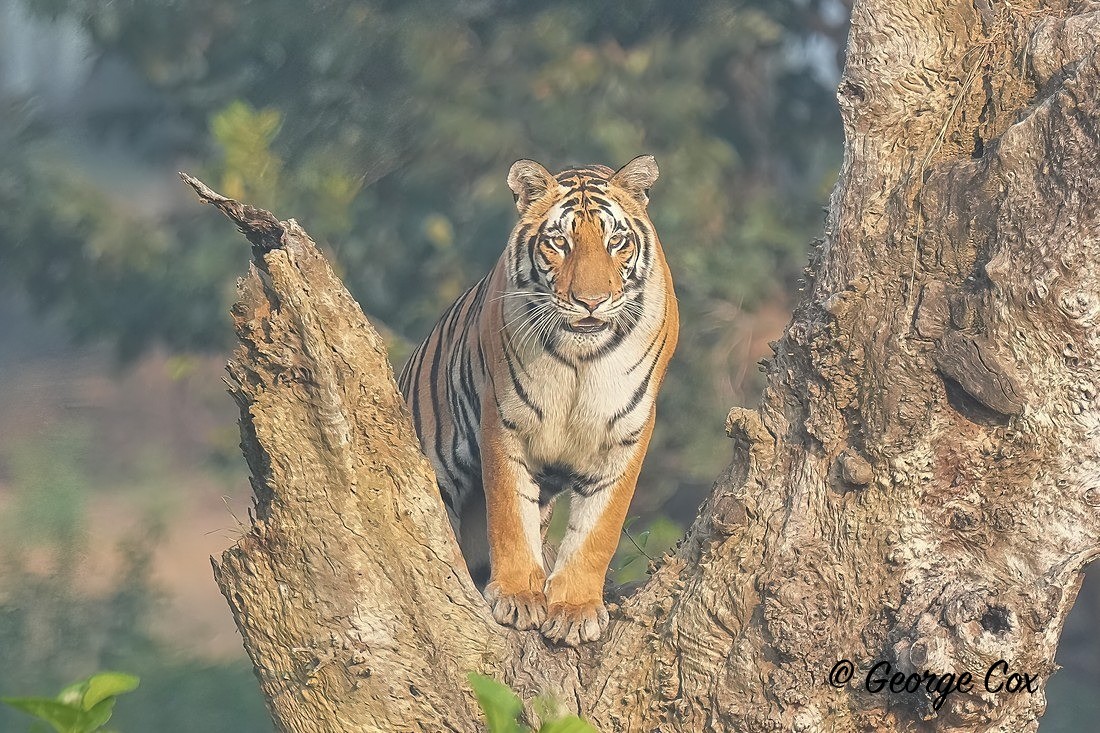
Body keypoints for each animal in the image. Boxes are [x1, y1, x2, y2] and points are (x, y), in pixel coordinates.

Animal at [398, 155, 678, 646]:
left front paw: (574, 609)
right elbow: (510, 516)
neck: (582, 358)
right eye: (559, 242)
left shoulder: (625, 436)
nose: (591, 302)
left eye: (616, 242)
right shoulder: (505, 422)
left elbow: (597, 531)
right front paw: (518, 597)